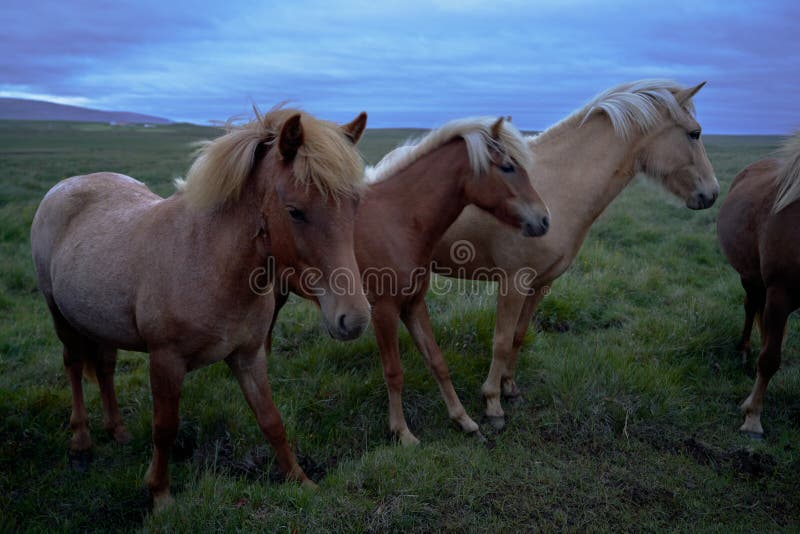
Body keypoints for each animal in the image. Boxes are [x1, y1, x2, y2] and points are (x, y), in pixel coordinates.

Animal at [30, 107, 372, 509]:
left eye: (355, 205)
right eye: (295, 211)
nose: (354, 318)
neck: (210, 261)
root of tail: (65, 186)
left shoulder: (248, 356)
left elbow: (270, 419)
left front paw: (300, 480)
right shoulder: (166, 360)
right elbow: (165, 429)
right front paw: (160, 496)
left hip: (100, 323)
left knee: (104, 367)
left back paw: (117, 430)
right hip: (61, 317)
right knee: (72, 365)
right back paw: (81, 441)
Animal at [267, 117, 550, 445]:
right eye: (507, 167)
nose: (544, 220)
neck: (397, 221)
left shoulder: (413, 304)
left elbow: (437, 361)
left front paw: (463, 420)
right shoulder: (384, 311)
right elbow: (394, 372)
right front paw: (402, 432)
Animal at [431, 80, 719, 428]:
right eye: (694, 133)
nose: (712, 193)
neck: (556, 186)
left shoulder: (540, 284)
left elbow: (518, 336)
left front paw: (510, 389)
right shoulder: (513, 282)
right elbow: (500, 341)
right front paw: (493, 404)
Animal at [717, 132, 800, 437]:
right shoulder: (780, 291)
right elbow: (770, 358)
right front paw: (752, 417)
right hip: (750, 278)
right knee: (751, 306)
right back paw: (743, 351)